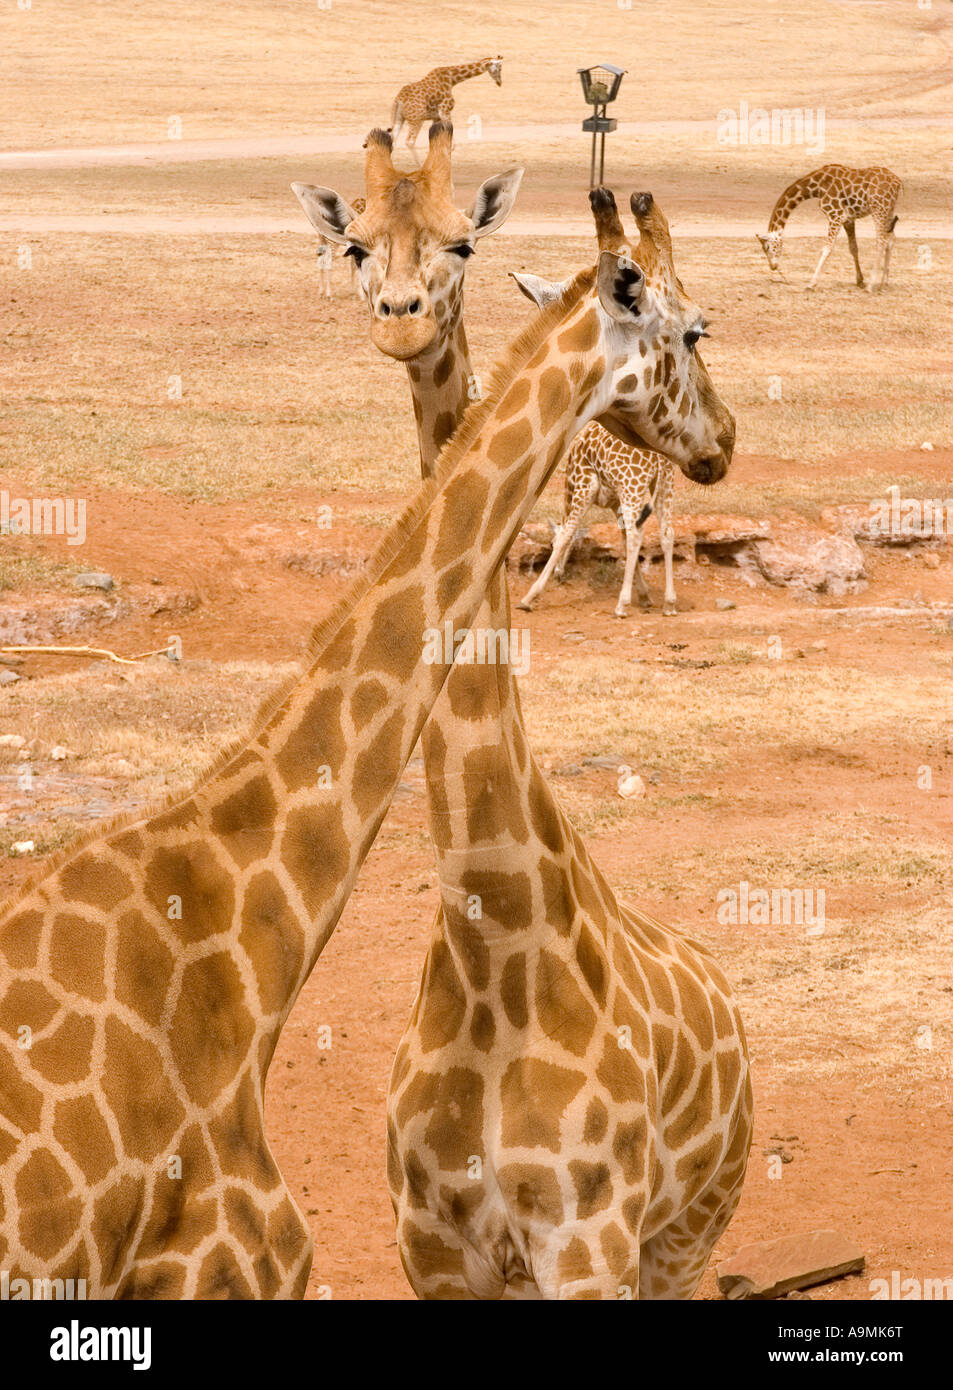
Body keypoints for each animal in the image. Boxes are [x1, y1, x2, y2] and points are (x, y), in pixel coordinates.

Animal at [515, 421, 678, 618]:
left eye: (551, 544)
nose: (559, 575)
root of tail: (658, 455)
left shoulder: (585, 487)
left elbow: (566, 535)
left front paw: (528, 598)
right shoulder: (615, 502)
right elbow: (623, 540)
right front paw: (645, 596)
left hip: (632, 486)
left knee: (636, 535)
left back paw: (621, 606)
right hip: (664, 483)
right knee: (666, 534)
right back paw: (669, 604)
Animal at [757, 164, 902, 292]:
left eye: (768, 247)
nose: (773, 266)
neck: (817, 186)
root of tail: (898, 183)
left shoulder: (835, 215)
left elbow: (827, 249)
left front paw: (811, 284)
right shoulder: (848, 219)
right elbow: (853, 248)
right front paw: (859, 280)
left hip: (878, 209)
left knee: (881, 241)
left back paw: (871, 286)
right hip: (888, 210)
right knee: (891, 239)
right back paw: (883, 283)